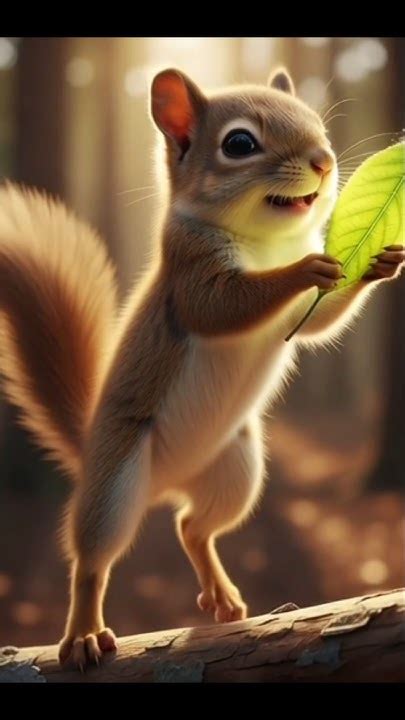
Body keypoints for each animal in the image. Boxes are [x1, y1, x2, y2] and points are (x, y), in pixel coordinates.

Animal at [0, 67, 403, 670]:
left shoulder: (297, 316)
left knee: (191, 525)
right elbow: (223, 307)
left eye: (318, 123)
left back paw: (222, 596)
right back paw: (84, 634)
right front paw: (301, 270)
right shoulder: (189, 275)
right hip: (116, 479)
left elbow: (318, 324)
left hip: (236, 469)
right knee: (92, 561)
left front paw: (380, 262)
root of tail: (165, 481)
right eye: (239, 143)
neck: (266, 242)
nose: (324, 160)